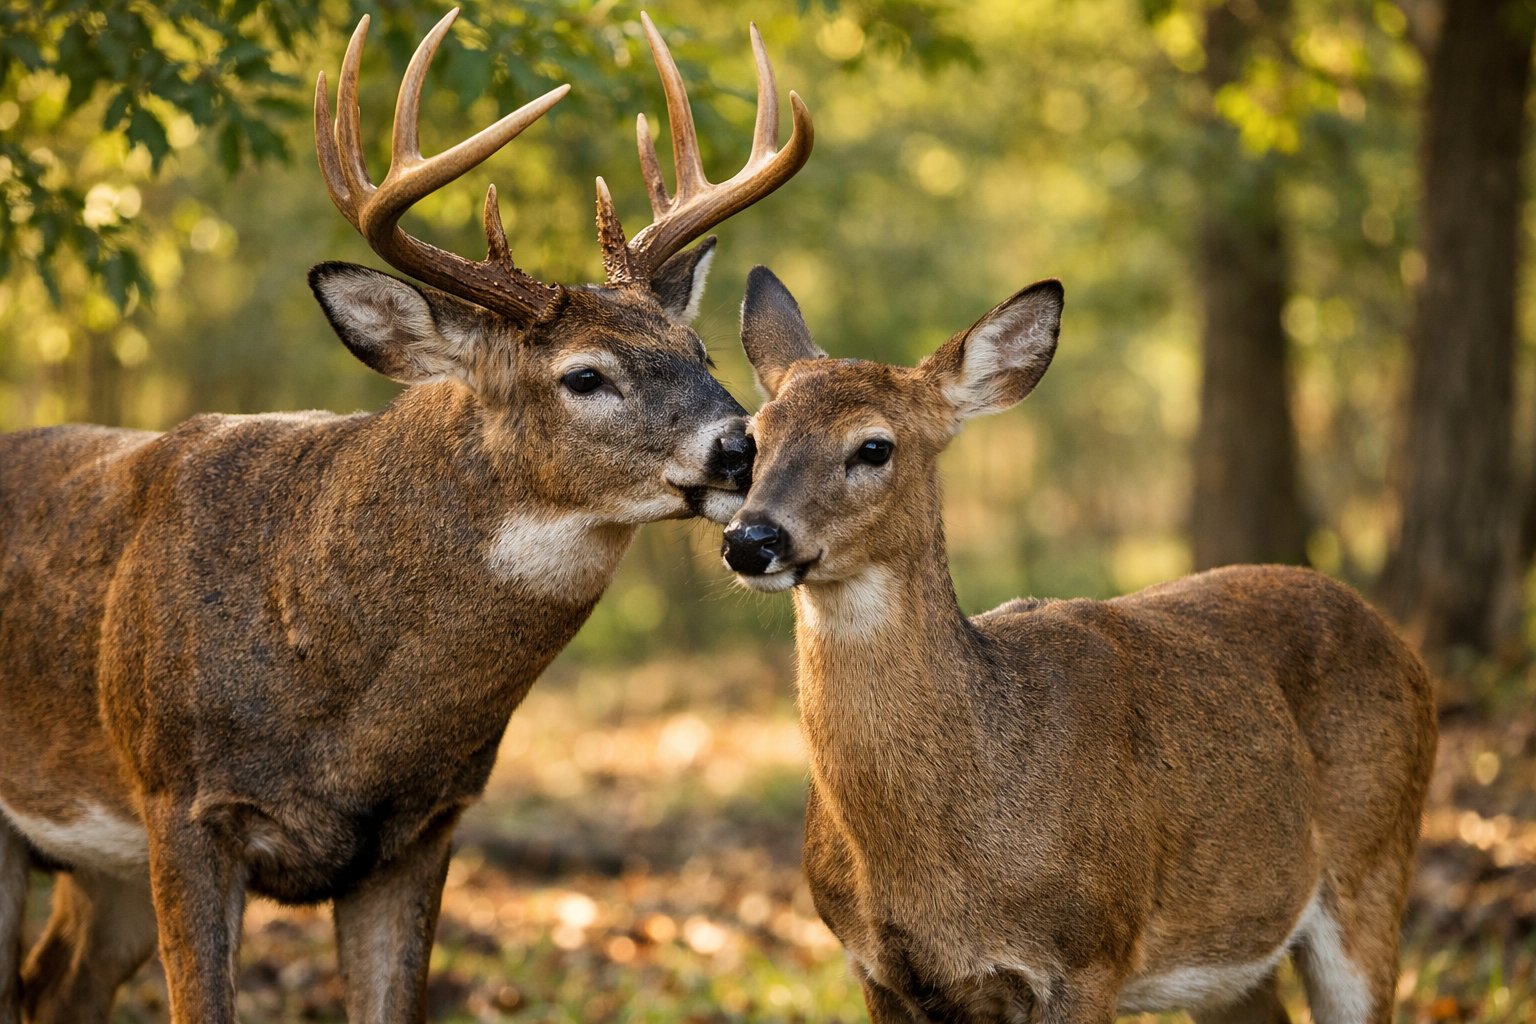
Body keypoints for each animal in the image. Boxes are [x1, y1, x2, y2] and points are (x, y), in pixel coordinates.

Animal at [0, 10, 811, 1023]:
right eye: (585, 375)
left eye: (699, 349)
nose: (743, 448)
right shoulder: (179, 802)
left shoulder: (424, 830)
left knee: (53, 987)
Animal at [722, 266, 1438, 1024]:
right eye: (751, 441)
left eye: (874, 446)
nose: (751, 539)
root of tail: (1403, 644)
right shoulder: (874, 967)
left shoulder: (1090, 952)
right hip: (1236, 959)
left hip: (1375, 865)